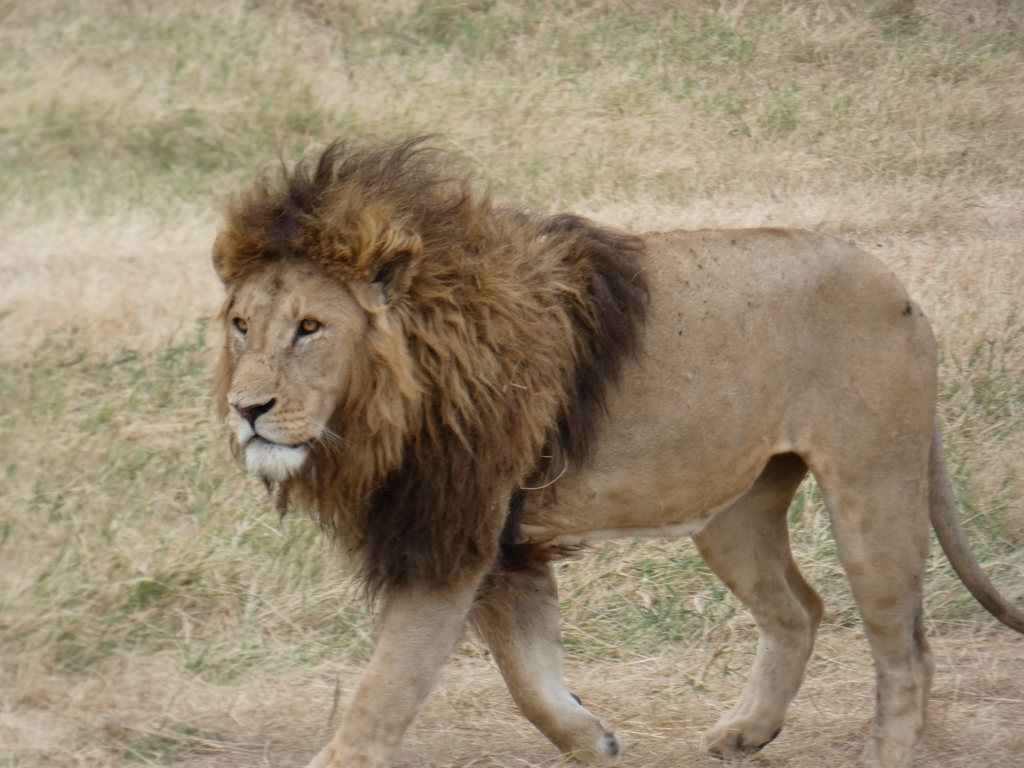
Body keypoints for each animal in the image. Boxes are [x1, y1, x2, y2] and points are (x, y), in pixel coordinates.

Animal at [211, 138, 1024, 768]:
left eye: (311, 327)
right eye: (243, 326)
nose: (246, 410)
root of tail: (905, 293)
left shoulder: (453, 535)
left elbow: (389, 684)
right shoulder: (506, 544)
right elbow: (528, 675)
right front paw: (592, 737)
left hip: (871, 490)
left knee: (905, 648)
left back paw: (883, 751)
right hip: (734, 514)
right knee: (799, 609)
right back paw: (744, 732)